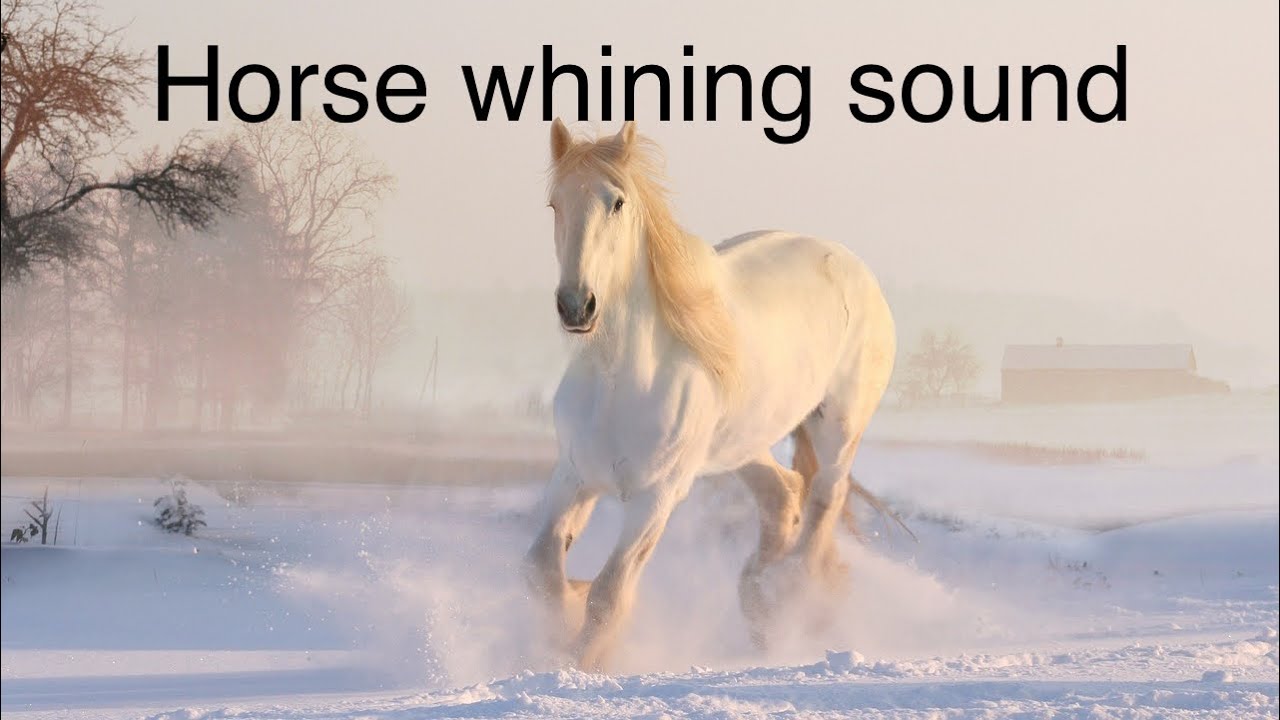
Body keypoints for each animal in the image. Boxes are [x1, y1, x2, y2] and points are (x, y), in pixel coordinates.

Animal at [524, 119, 897, 671]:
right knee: (783, 494)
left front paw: (581, 661)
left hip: (838, 428)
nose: (576, 305)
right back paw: (759, 602)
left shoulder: (657, 496)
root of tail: (854, 267)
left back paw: (789, 600)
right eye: (555, 204)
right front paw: (561, 626)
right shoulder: (573, 477)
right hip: (742, 444)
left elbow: (609, 595)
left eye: (617, 202)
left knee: (823, 503)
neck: (619, 381)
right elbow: (542, 572)